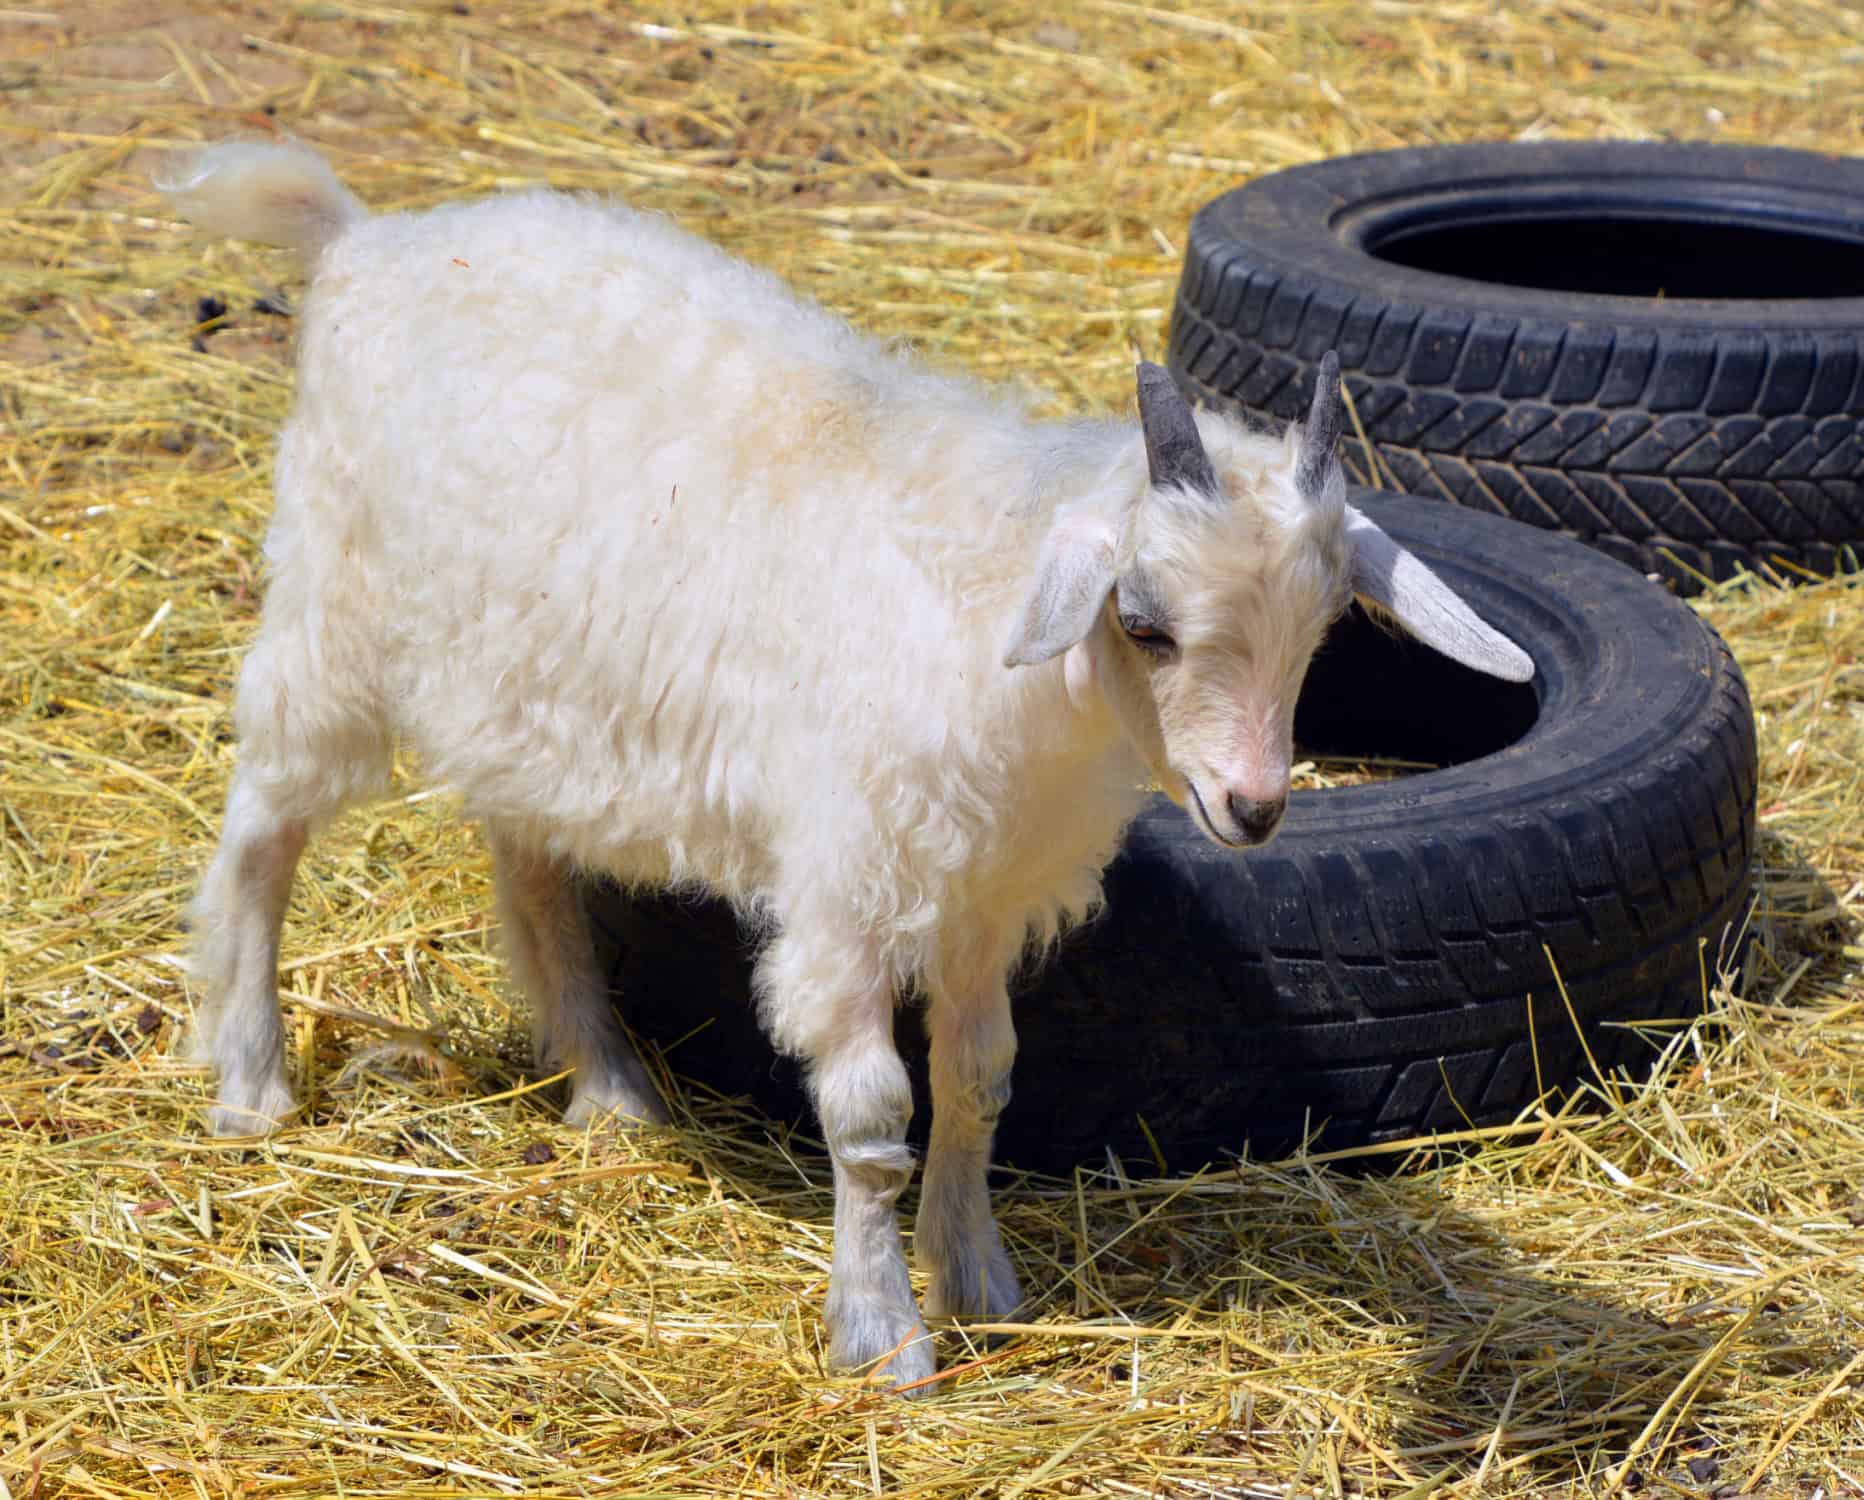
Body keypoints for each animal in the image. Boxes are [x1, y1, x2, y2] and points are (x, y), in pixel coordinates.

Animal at [160, 139, 1532, 1392]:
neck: (985, 620)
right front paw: (882, 1334)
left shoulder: (980, 894)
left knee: (528, 857)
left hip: (531, 690)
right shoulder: (846, 889)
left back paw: (607, 1084)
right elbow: (873, 1119)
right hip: (334, 608)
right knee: (261, 830)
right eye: (1143, 622)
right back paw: (249, 1077)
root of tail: (366, 239)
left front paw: (977, 1280)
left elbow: (980, 1081)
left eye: (1324, 627)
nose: (1250, 809)